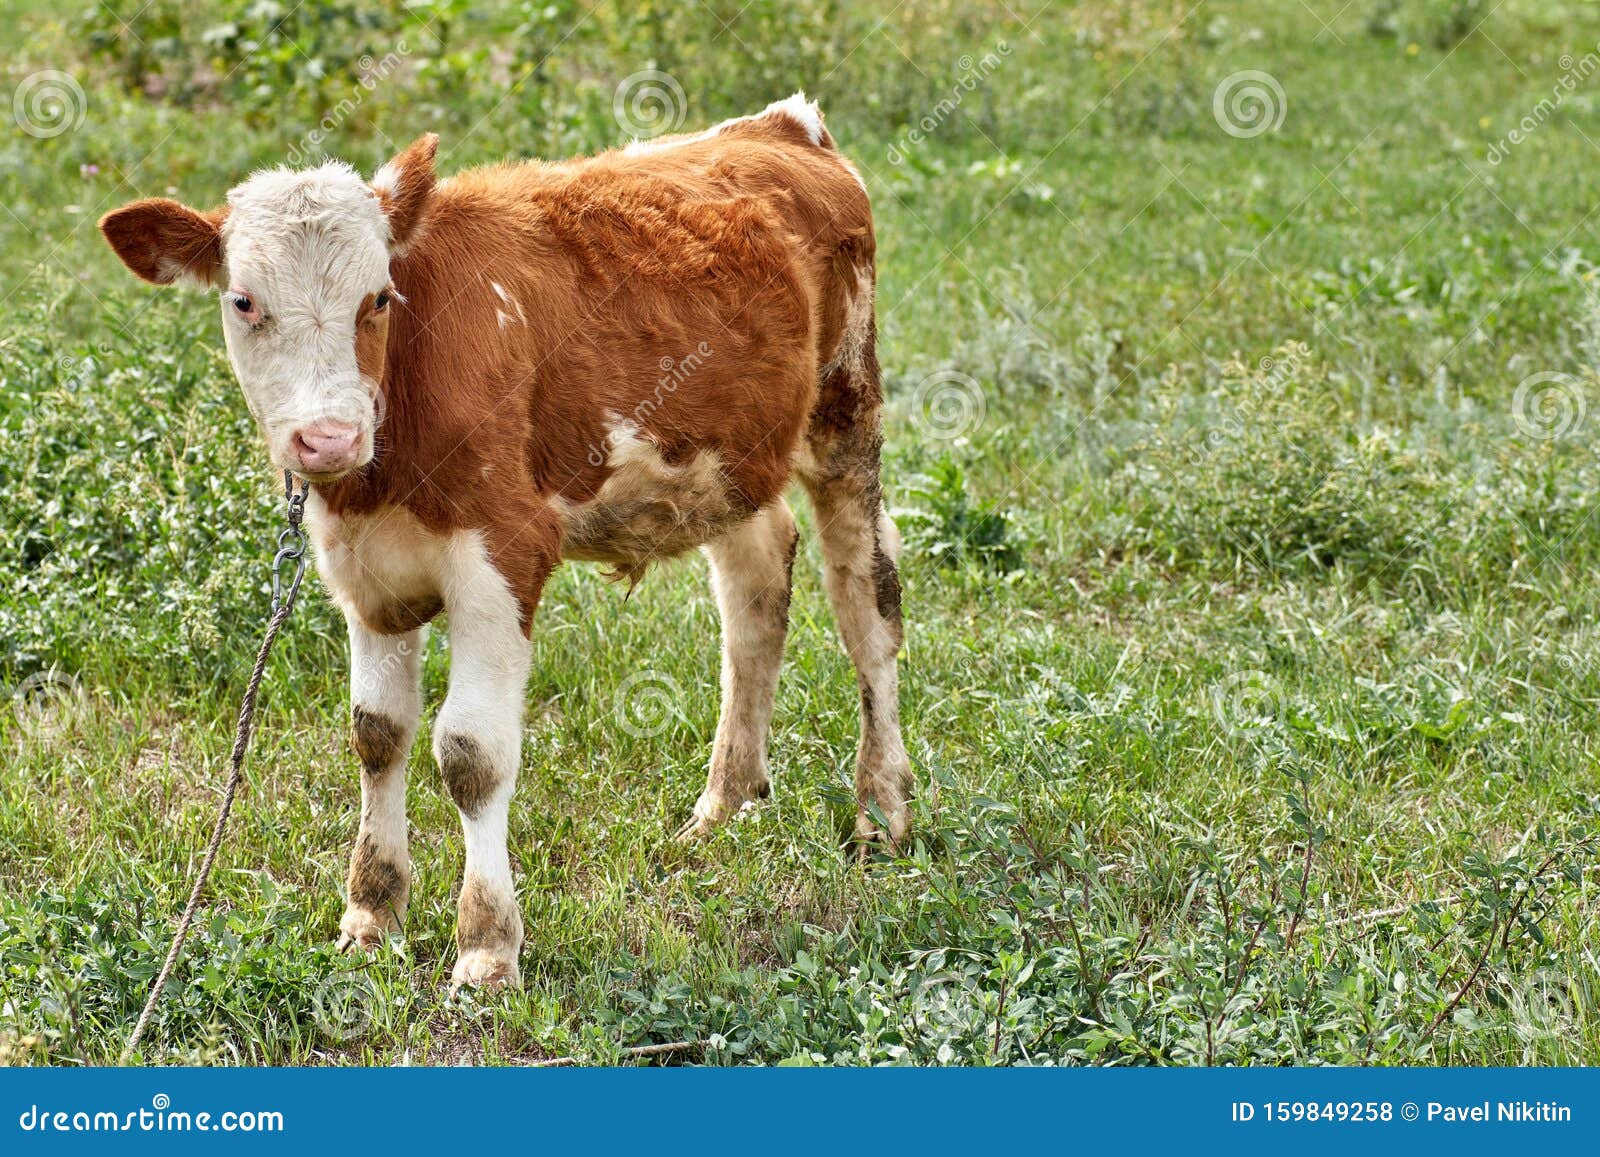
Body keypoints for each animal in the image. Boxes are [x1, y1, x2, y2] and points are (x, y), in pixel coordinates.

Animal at [98, 94, 910, 989]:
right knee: (756, 594)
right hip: (725, 464)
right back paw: (723, 807)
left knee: (867, 604)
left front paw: (487, 947)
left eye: (379, 298)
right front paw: (372, 912)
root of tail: (781, 127)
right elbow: (376, 733)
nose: (328, 437)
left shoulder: (503, 553)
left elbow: (471, 752)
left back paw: (883, 812)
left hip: (846, 407)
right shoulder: (362, 568)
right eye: (243, 301)